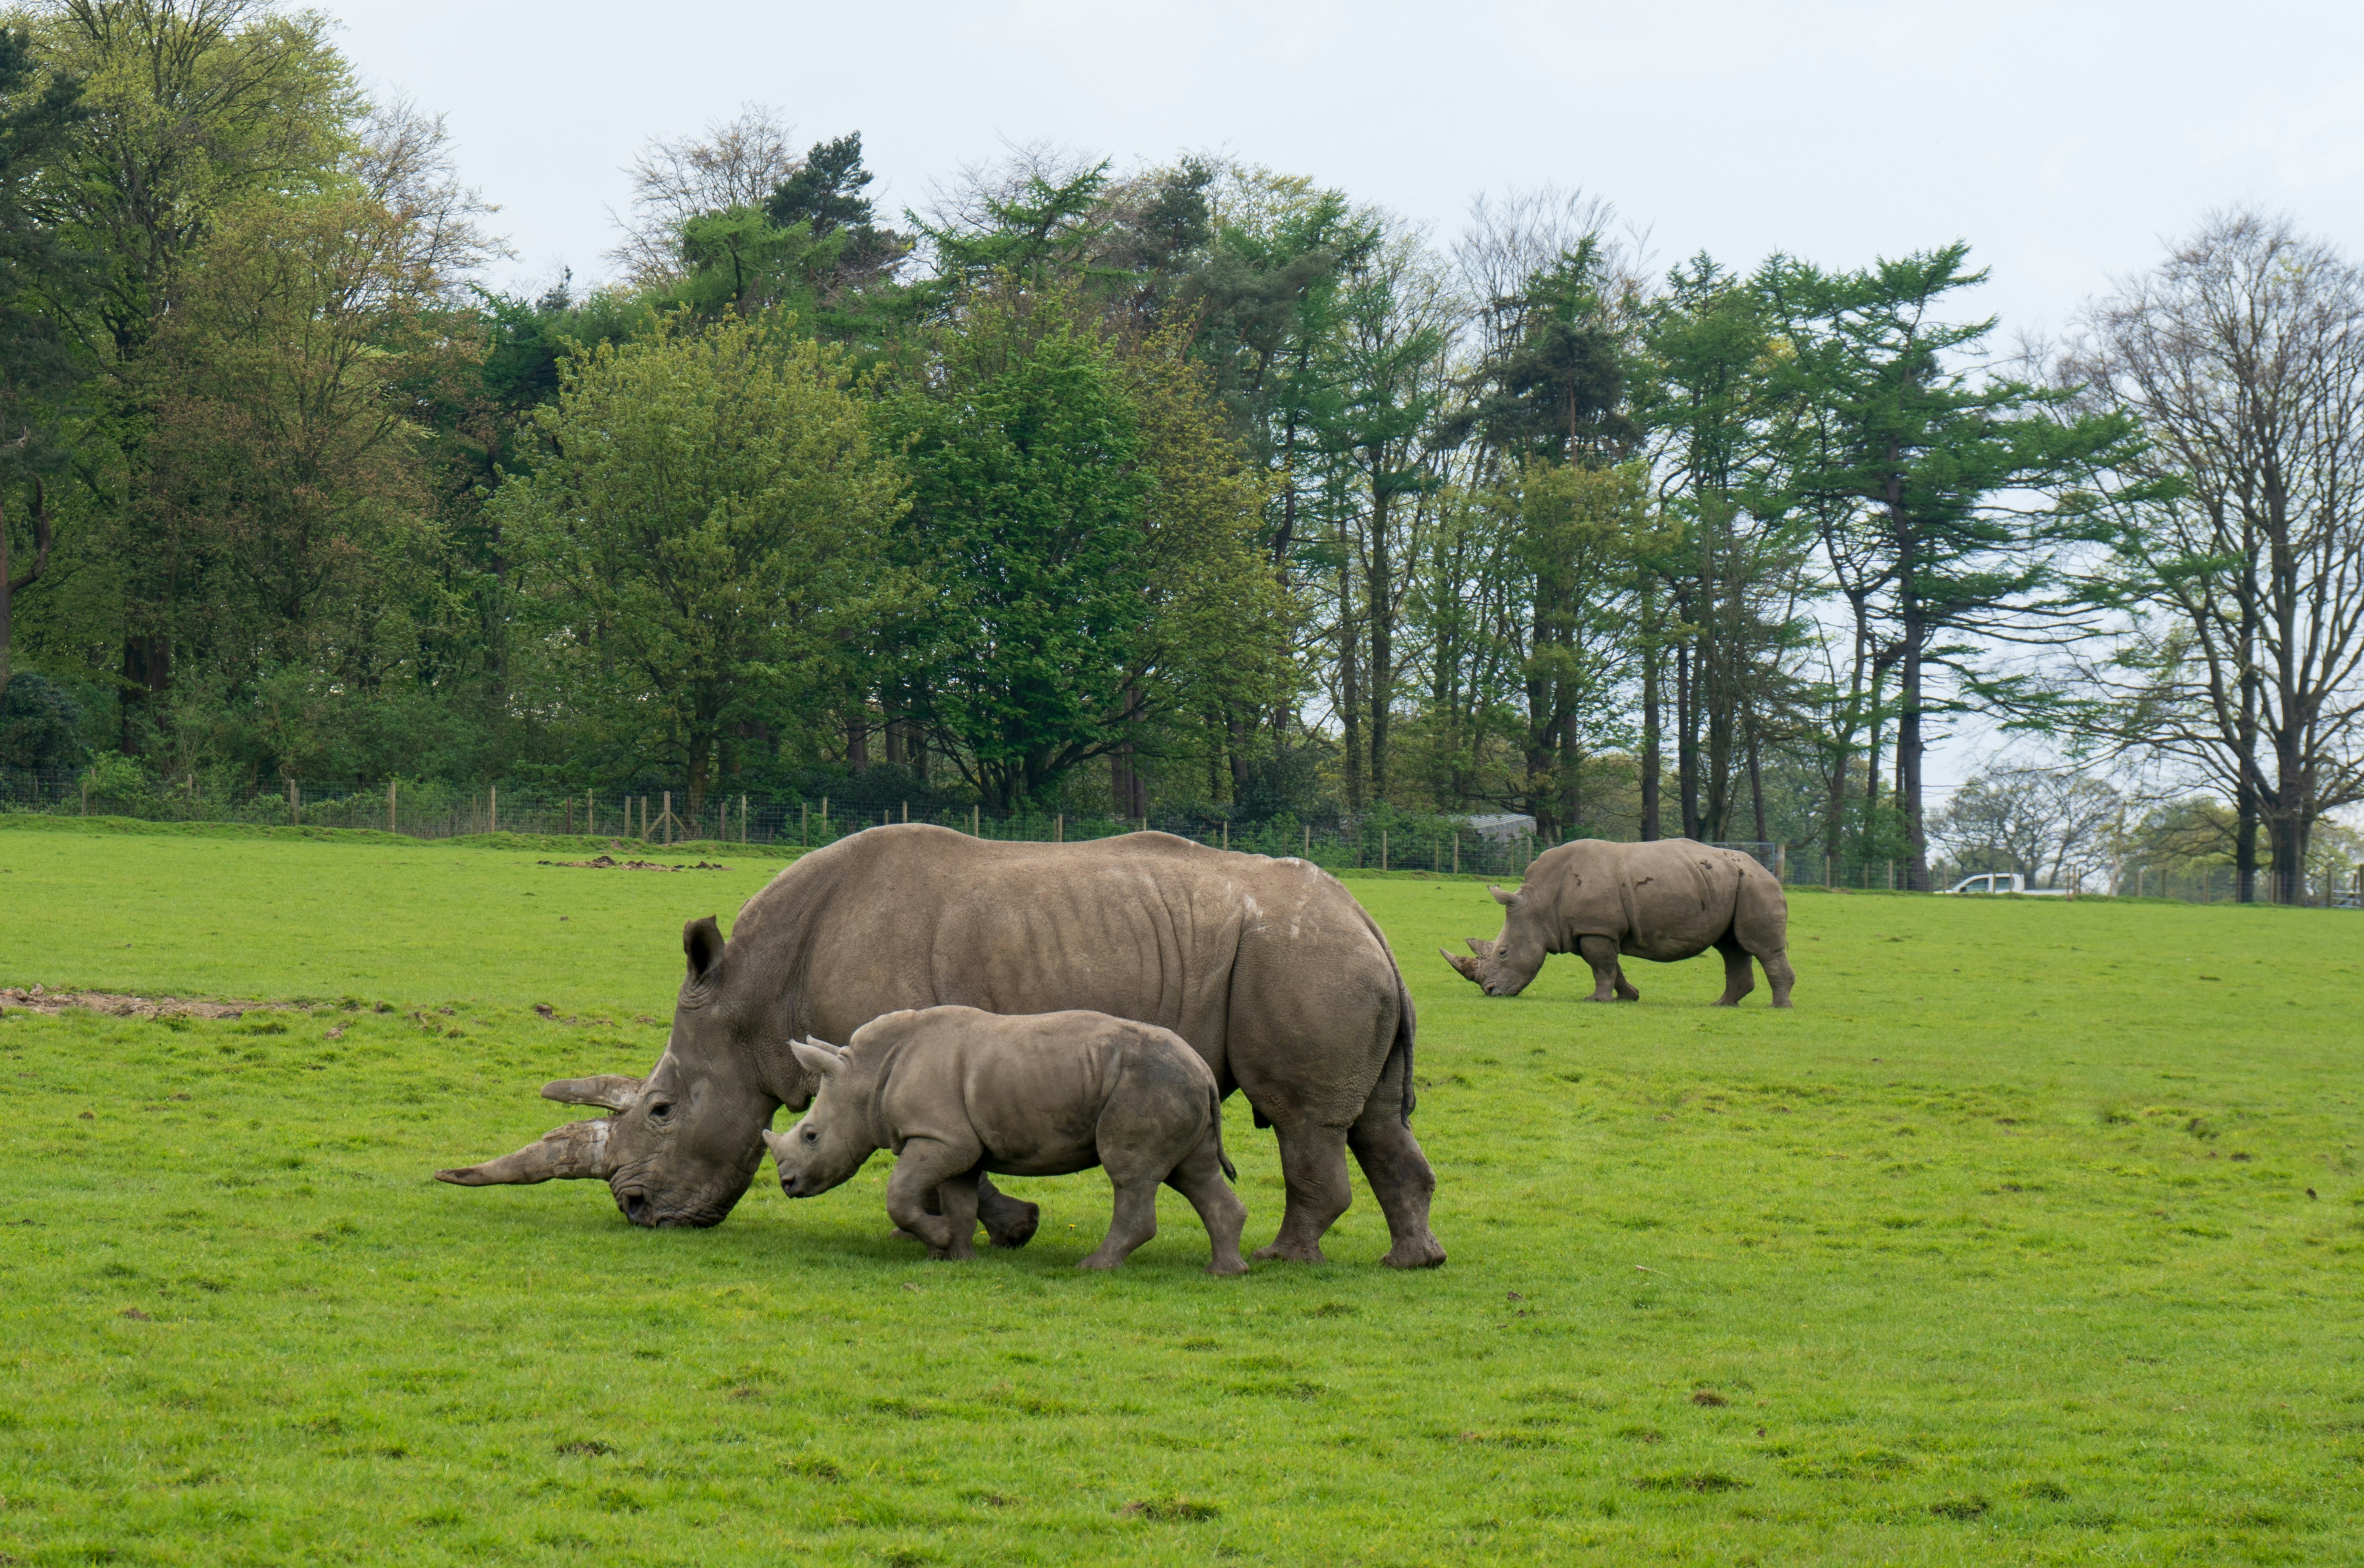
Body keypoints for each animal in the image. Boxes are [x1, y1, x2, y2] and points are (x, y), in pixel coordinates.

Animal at [763, 1007, 1248, 1275]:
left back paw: (1094, 1267)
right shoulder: (956, 1141)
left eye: (811, 1135)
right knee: (1194, 1173)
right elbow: (960, 1199)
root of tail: (1202, 1069)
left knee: (1132, 1175)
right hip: (1176, 1084)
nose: (787, 1185)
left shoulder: (939, 1137)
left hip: (1149, 1083)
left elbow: (899, 1193)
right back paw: (1224, 1272)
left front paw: (940, 1240)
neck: (866, 1077)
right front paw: (956, 1255)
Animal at [1441, 837, 1796, 1007]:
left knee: (1760, 948)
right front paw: (1629, 997)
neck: (1538, 905)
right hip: (1729, 883)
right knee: (1732, 947)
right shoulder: (1589, 929)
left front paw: (1596, 1001)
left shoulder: (1596, 929)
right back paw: (1721, 1005)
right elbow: (1609, 966)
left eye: (1503, 953)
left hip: (1754, 884)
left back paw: (1779, 1008)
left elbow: (1602, 965)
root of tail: (1766, 868)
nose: (1490, 991)